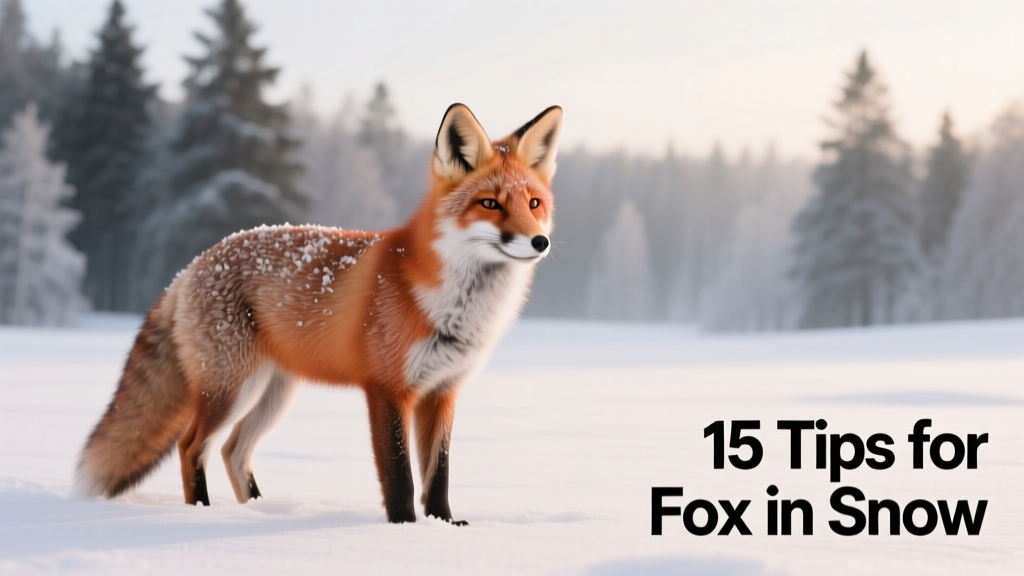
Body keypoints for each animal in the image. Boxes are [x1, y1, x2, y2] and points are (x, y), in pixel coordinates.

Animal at [77, 103, 562, 524]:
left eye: (534, 204)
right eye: (490, 204)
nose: (540, 242)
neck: (454, 309)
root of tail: (193, 264)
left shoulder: (443, 391)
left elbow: (437, 474)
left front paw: (443, 526)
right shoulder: (388, 389)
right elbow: (401, 476)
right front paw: (404, 529)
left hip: (274, 392)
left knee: (233, 450)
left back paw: (259, 511)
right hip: (232, 388)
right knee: (190, 445)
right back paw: (202, 513)